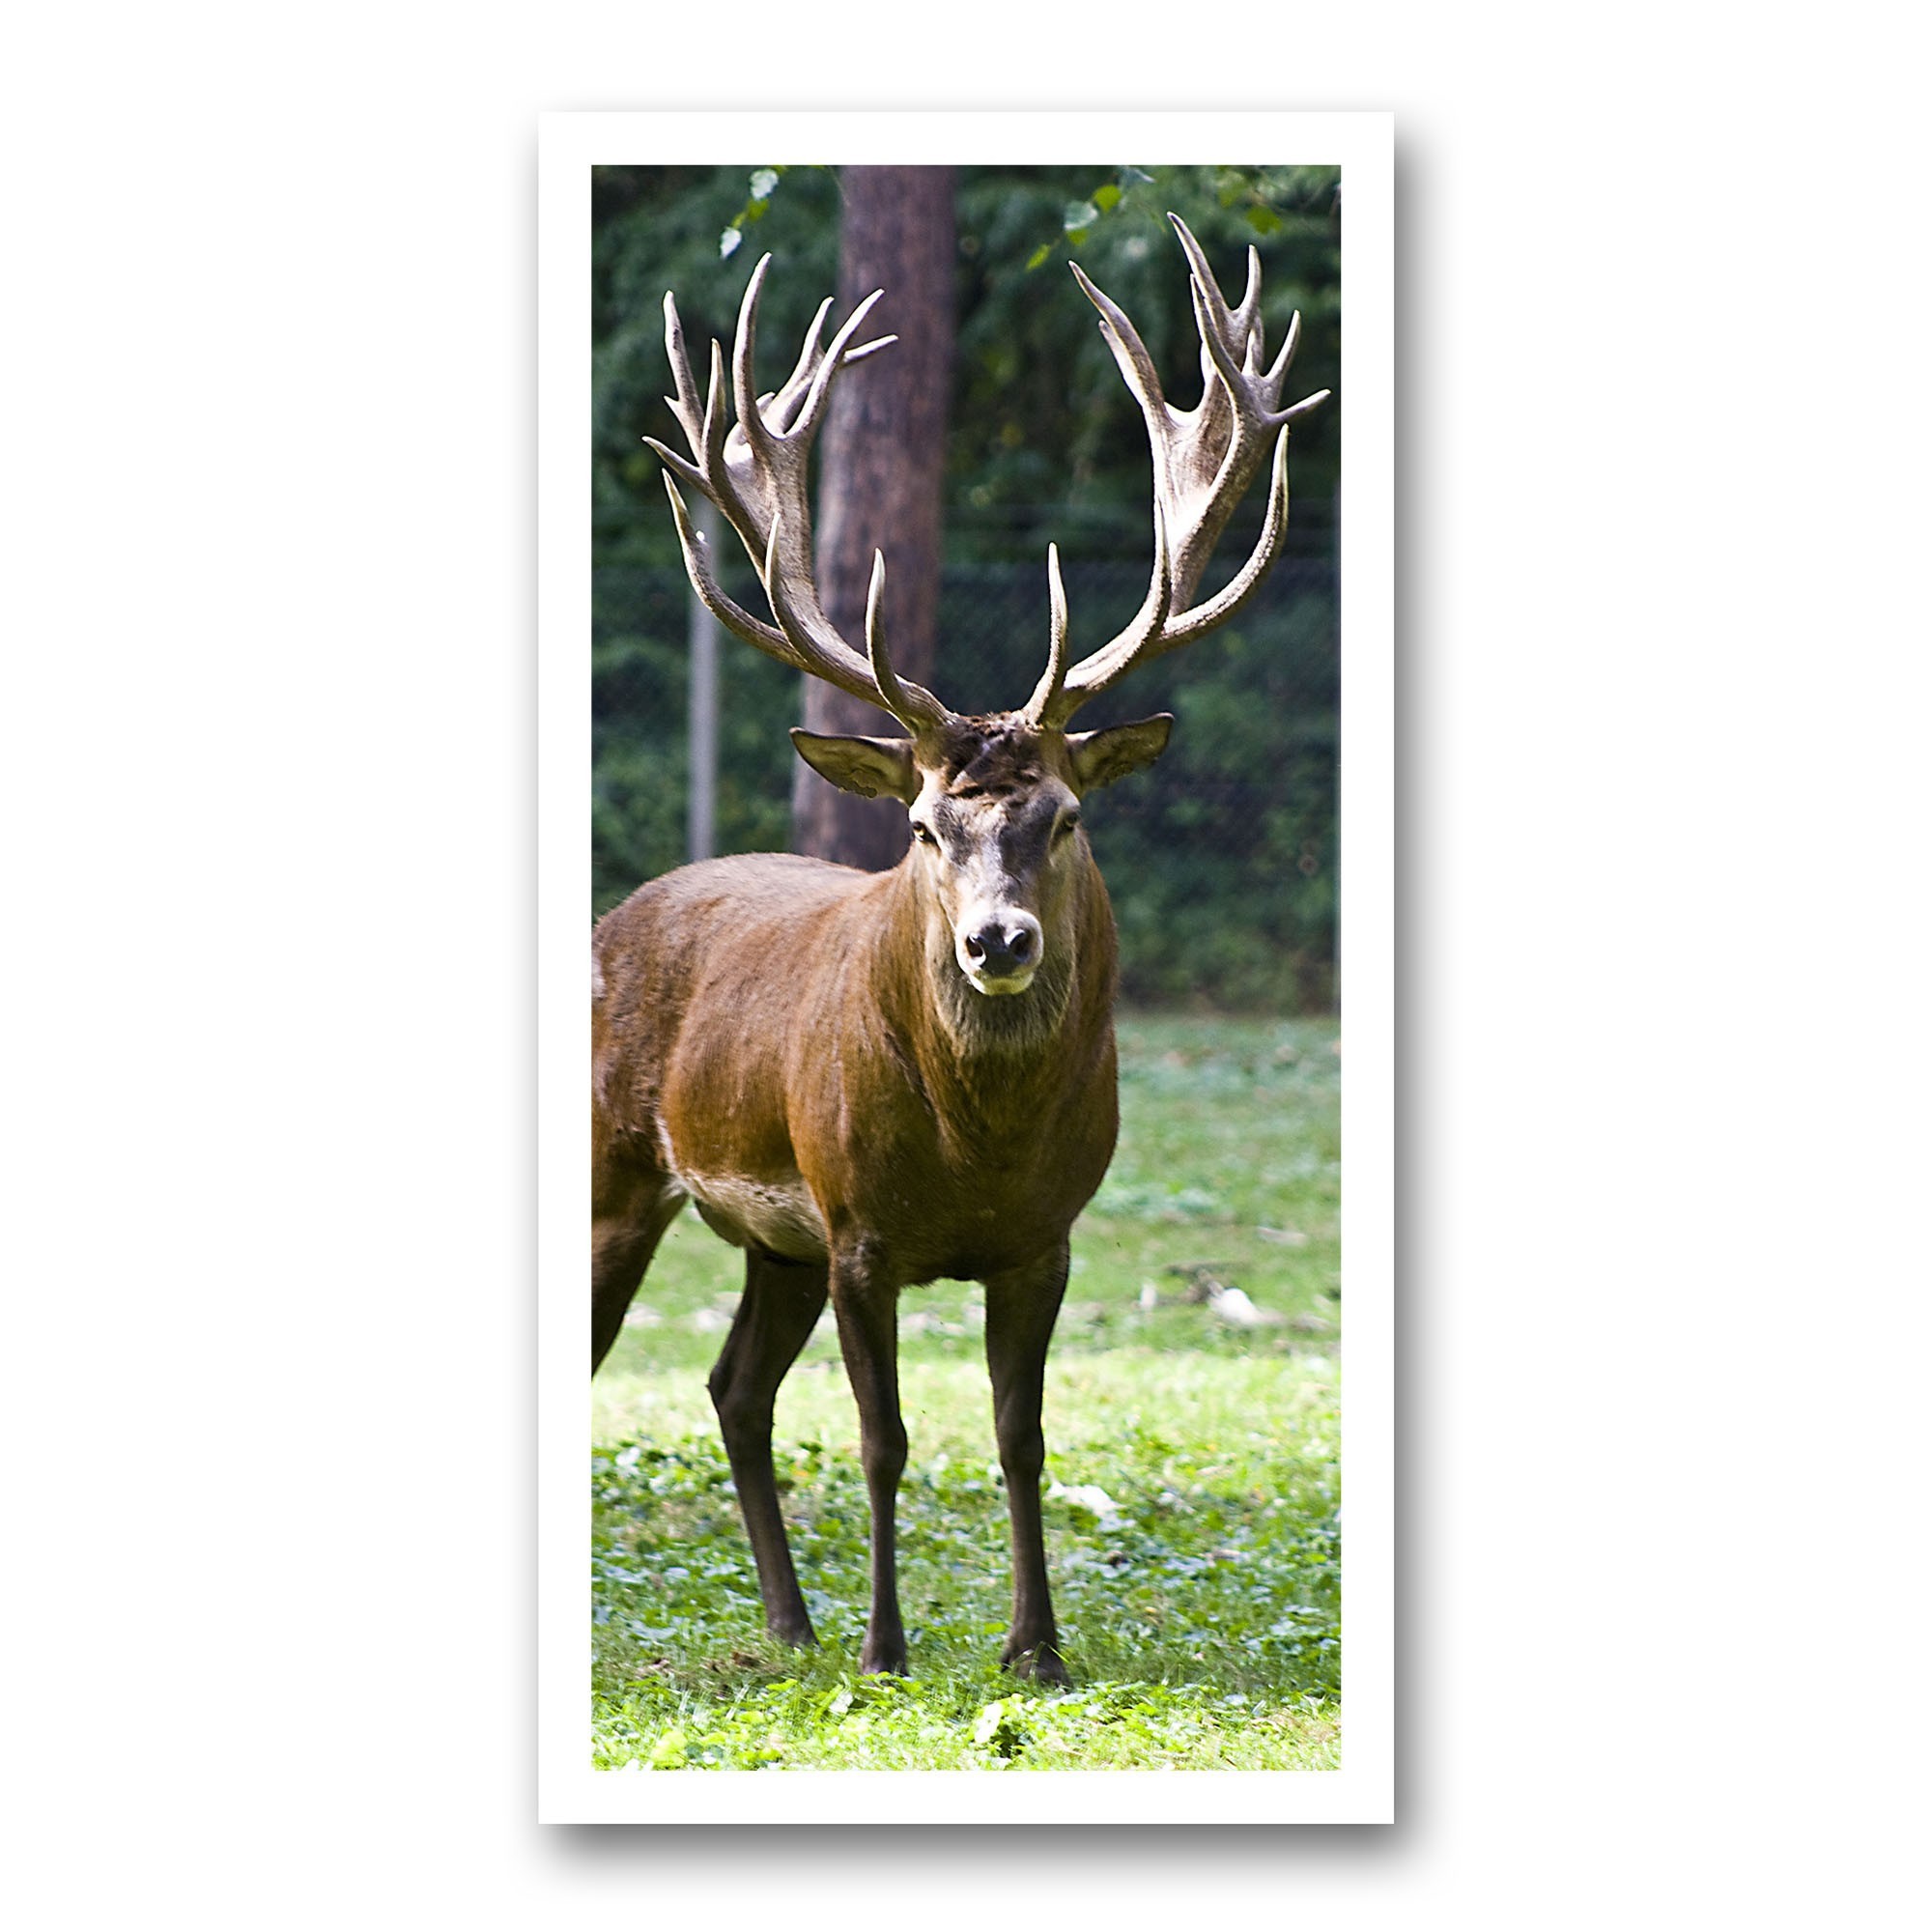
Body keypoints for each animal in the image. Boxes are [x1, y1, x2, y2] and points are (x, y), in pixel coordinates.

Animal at [591, 214, 1329, 1683]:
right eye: (926, 824)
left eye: (1066, 814)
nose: (997, 940)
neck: (976, 1145)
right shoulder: (859, 1226)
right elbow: (884, 1442)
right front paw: (889, 1647)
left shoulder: (1044, 1237)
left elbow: (1021, 1439)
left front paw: (1034, 1648)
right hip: (620, 1168)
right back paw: (802, 1626)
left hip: (771, 1243)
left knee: (732, 1385)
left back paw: (788, 1620)